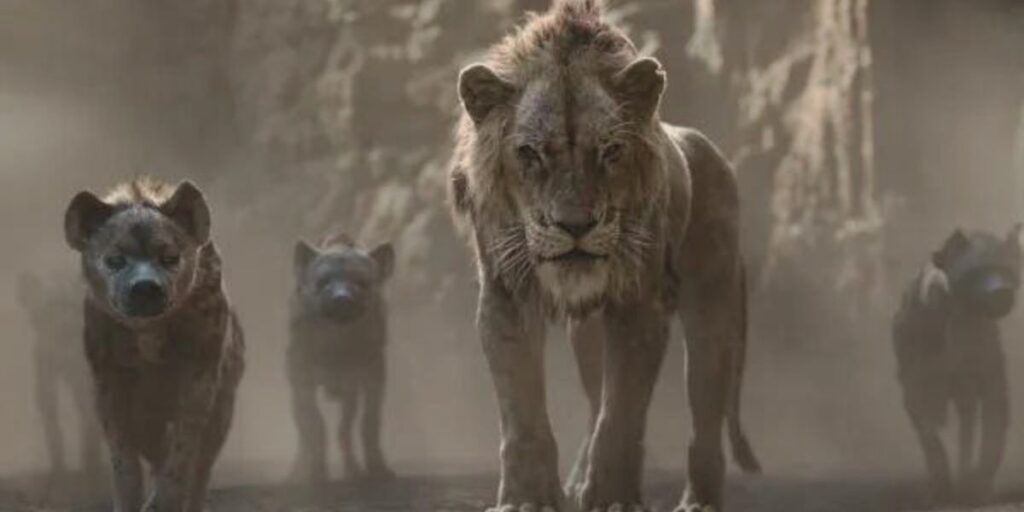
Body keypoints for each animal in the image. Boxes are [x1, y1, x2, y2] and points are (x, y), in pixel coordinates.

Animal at [447, 1, 760, 511]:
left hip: (712, 308)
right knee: (596, 400)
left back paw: (698, 500)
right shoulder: (505, 297)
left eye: (611, 151)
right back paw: (576, 482)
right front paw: (528, 499)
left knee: (705, 418)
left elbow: (623, 415)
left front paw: (613, 498)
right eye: (530, 153)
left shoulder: (639, 304)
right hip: (589, 336)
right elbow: (524, 415)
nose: (575, 226)